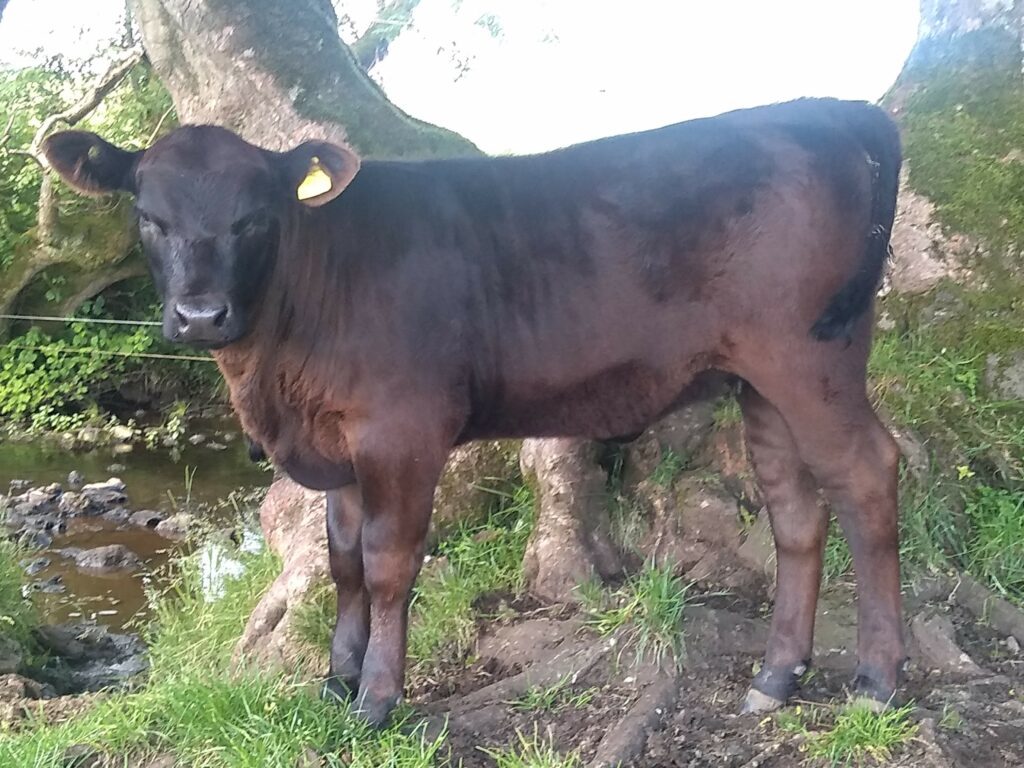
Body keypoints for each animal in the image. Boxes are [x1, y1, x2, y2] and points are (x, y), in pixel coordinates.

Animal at [43, 97, 903, 728]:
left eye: (256, 216)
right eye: (148, 215)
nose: (200, 315)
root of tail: (823, 108)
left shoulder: (400, 428)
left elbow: (389, 563)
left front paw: (376, 699)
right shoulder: (337, 443)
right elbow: (342, 563)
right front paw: (335, 679)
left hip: (809, 360)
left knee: (868, 475)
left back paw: (877, 679)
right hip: (761, 381)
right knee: (796, 511)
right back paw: (777, 675)